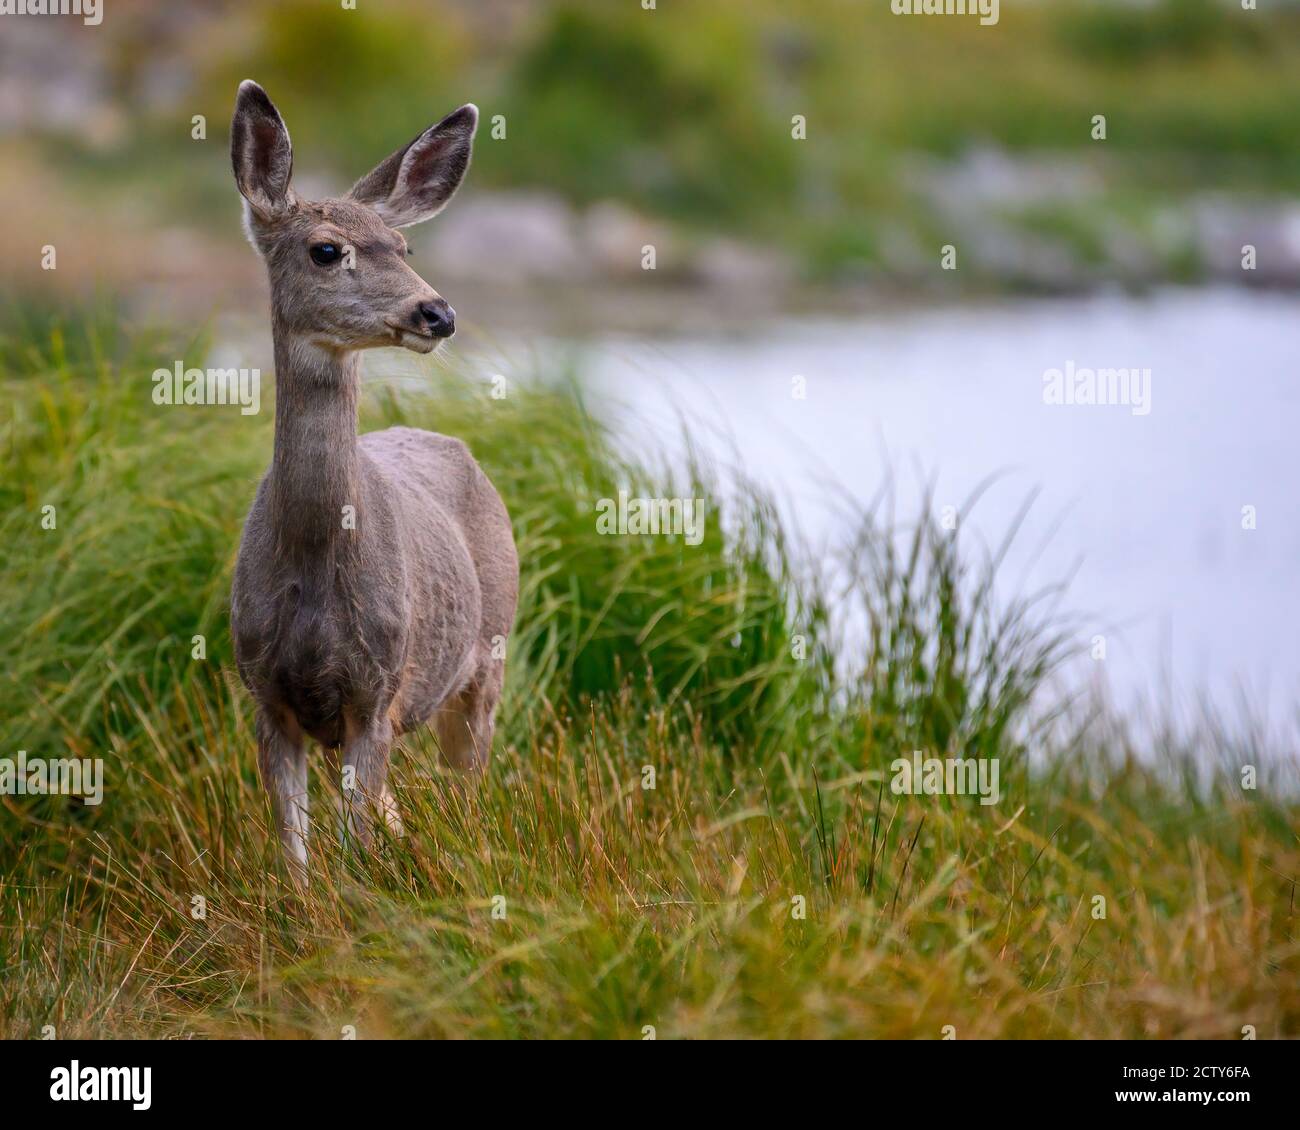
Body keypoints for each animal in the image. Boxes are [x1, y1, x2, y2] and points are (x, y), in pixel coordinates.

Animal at [227, 80, 518, 884]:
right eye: (328, 250)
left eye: (405, 247)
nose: (438, 312)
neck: (313, 562)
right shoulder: (268, 696)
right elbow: (293, 853)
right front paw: (301, 909)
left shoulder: (378, 692)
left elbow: (354, 843)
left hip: (488, 655)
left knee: (468, 786)